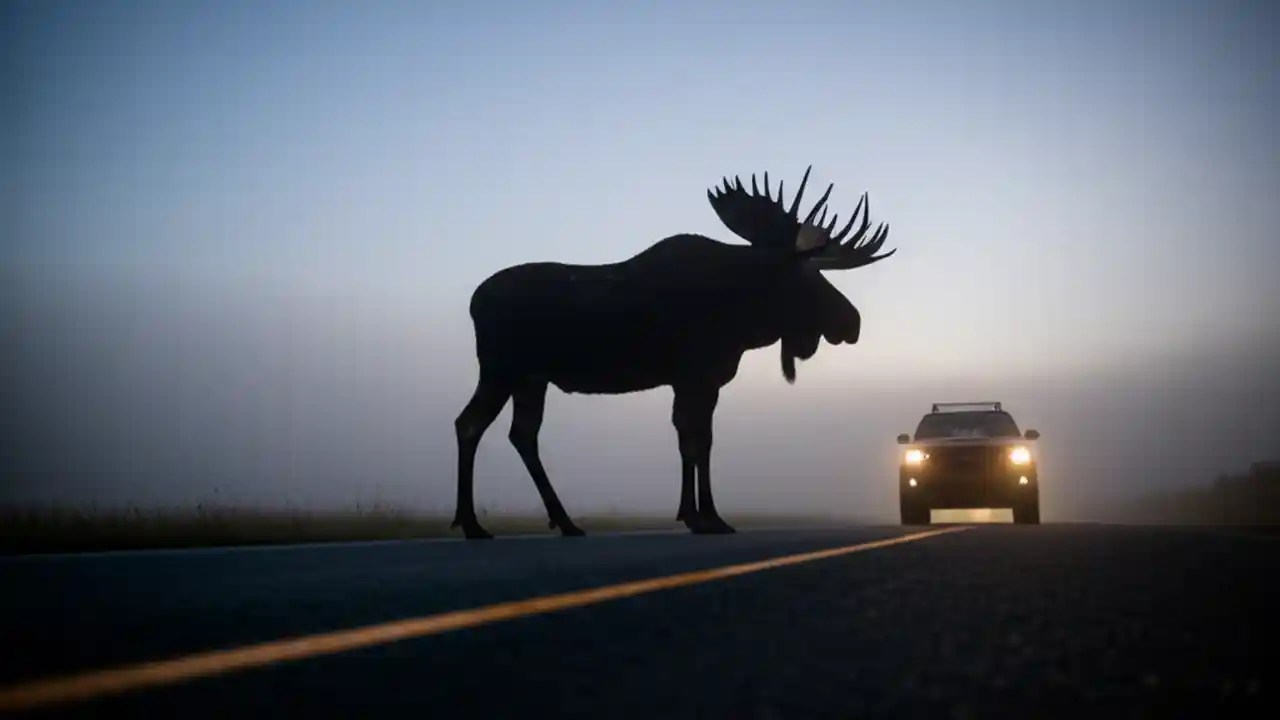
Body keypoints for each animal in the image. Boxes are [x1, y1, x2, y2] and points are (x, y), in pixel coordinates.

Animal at [451, 166, 895, 539]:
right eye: (807, 275)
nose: (852, 322)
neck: (742, 314)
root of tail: (473, 300)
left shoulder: (703, 381)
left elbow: (699, 438)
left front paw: (705, 515)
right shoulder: (693, 376)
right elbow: (693, 440)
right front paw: (701, 517)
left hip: (532, 378)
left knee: (521, 434)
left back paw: (564, 521)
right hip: (501, 369)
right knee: (470, 423)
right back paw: (472, 523)